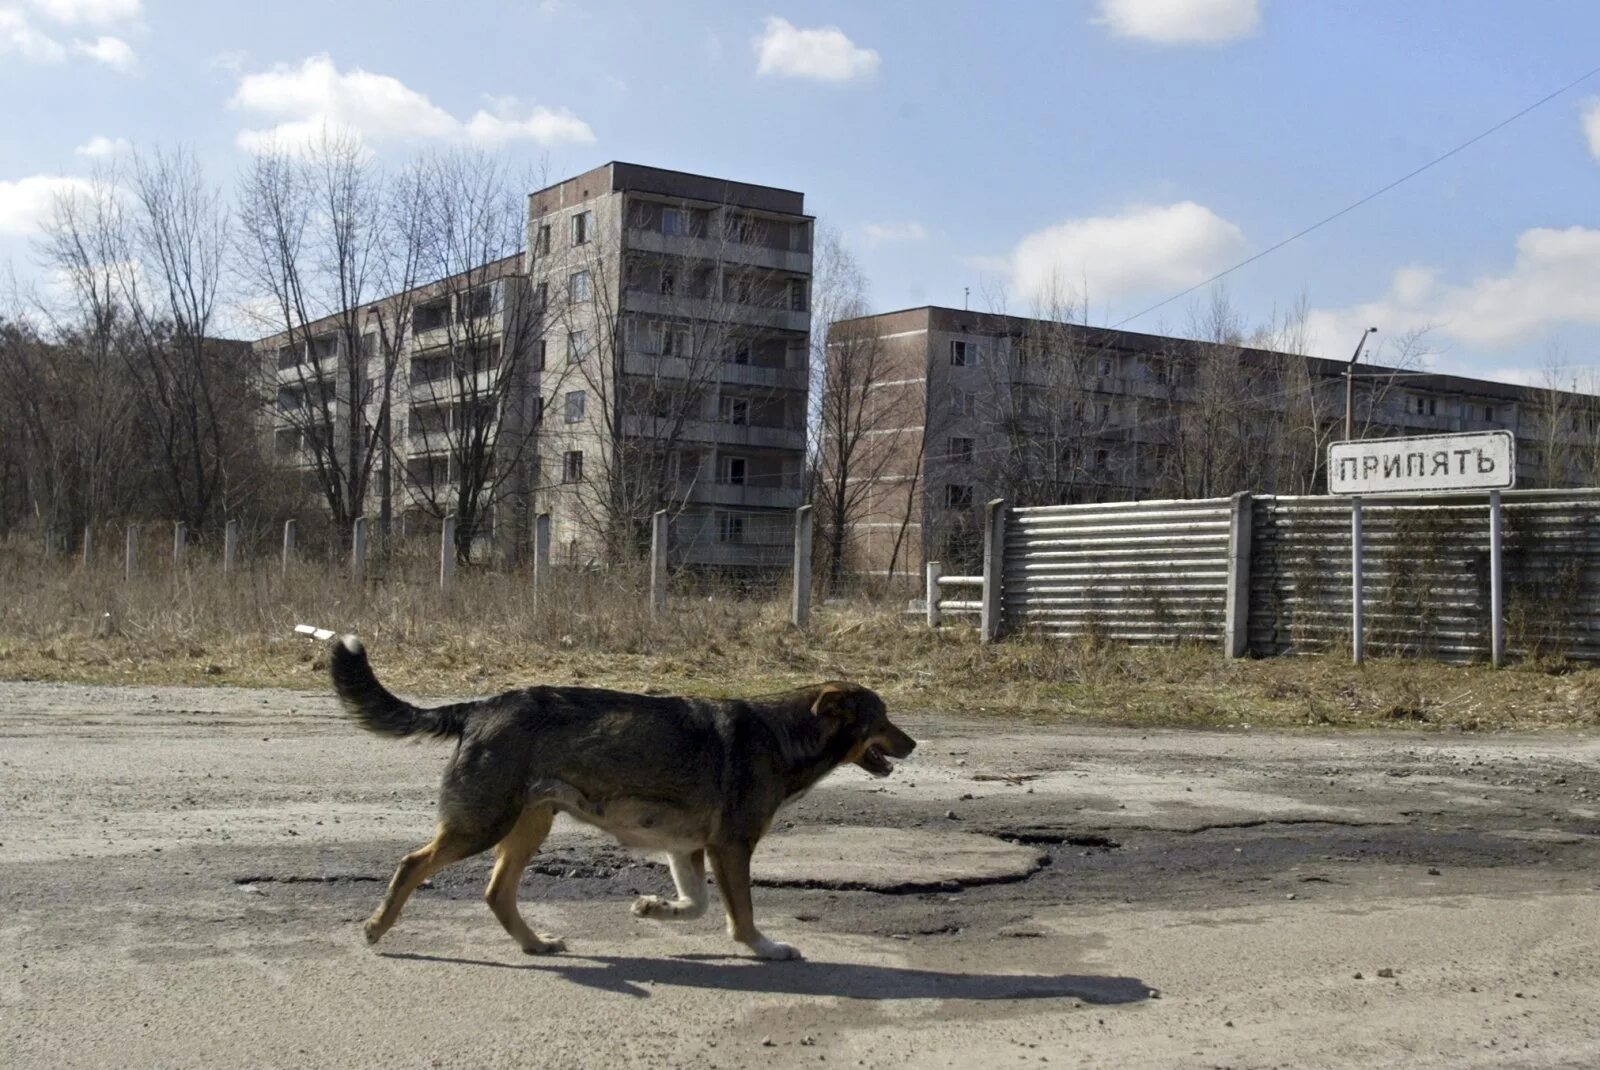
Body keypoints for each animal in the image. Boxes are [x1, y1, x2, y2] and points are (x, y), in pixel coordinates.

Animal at [328, 633, 915, 959]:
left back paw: (535, 944)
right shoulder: (731, 848)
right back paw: (377, 927)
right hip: (482, 825)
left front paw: (656, 909)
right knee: (411, 865)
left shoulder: (687, 849)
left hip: (528, 826)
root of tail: (481, 705)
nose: (914, 743)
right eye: (884, 718)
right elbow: (741, 914)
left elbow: (697, 905)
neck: (784, 734)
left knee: (497, 893)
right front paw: (765, 949)